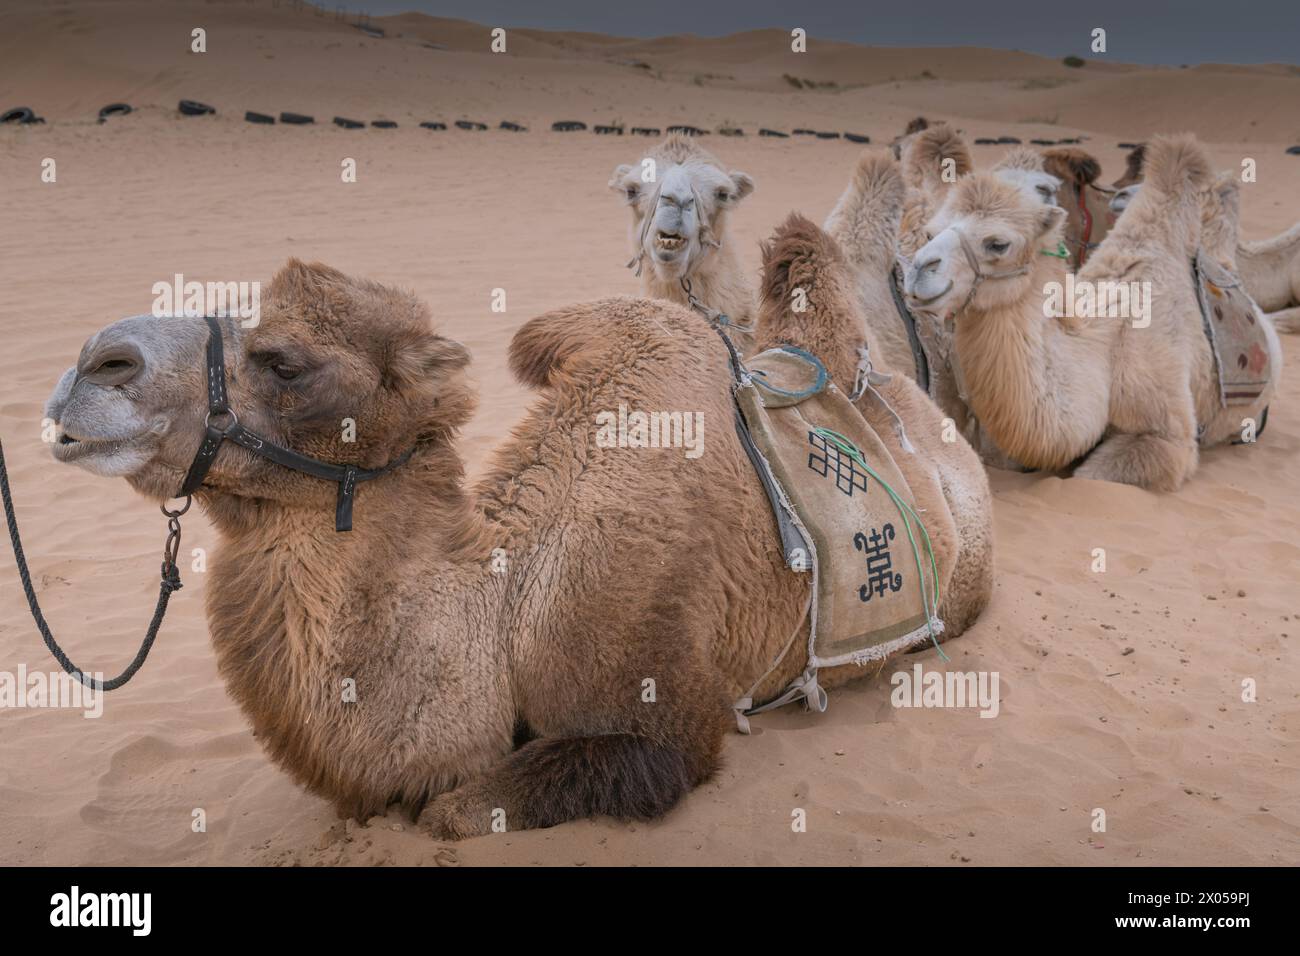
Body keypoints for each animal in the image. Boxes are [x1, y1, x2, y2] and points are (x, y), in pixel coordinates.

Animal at [903, 134, 1280, 491]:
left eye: (998, 244)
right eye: (930, 232)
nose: (919, 270)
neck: (1103, 352)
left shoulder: (1167, 438)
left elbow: (1092, 475)